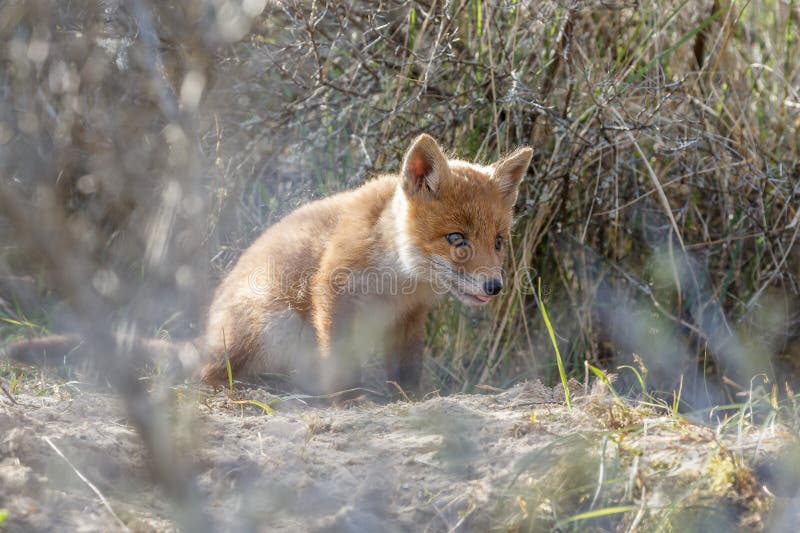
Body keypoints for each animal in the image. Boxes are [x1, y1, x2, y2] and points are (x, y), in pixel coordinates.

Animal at [2, 134, 532, 395]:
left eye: (498, 242)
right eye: (456, 239)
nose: (494, 286)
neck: (397, 278)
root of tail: (207, 335)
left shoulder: (408, 318)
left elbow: (407, 371)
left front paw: (411, 400)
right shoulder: (331, 290)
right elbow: (338, 362)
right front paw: (344, 399)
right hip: (277, 324)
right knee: (207, 375)